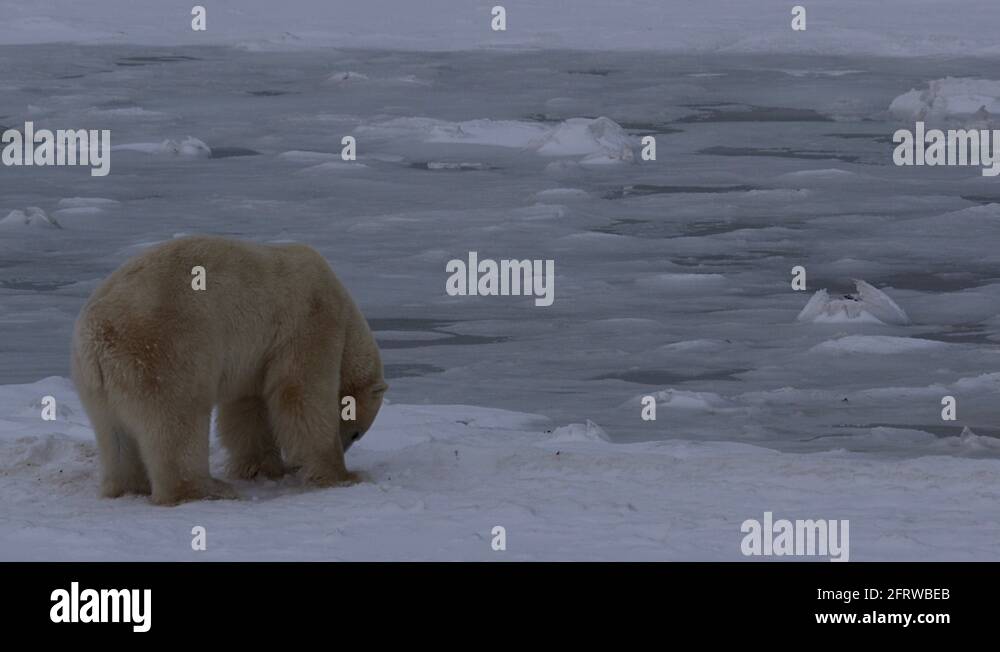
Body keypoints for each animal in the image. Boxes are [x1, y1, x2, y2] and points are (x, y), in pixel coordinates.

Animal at [71, 236, 387, 505]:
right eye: (356, 432)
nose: (347, 445)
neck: (346, 313)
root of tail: (98, 336)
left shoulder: (257, 356)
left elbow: (247, 408)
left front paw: (264, 467)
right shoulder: (312, 320)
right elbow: (302, 393)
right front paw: (342, 474)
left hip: (96, 382)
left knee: (114, 433)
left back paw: (128, 488)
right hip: (163, 350)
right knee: (177, 420)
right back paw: (207, 490)